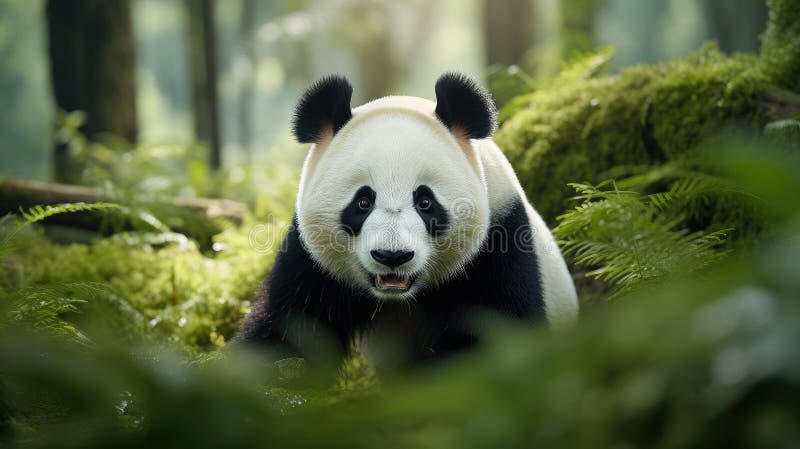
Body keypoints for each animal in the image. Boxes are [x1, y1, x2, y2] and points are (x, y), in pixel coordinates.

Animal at [236, 73, 578, 364]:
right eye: (363, 202)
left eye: (425, 202)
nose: (392, 256)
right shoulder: (311, 263)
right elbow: (288, 325)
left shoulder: (500, 236)